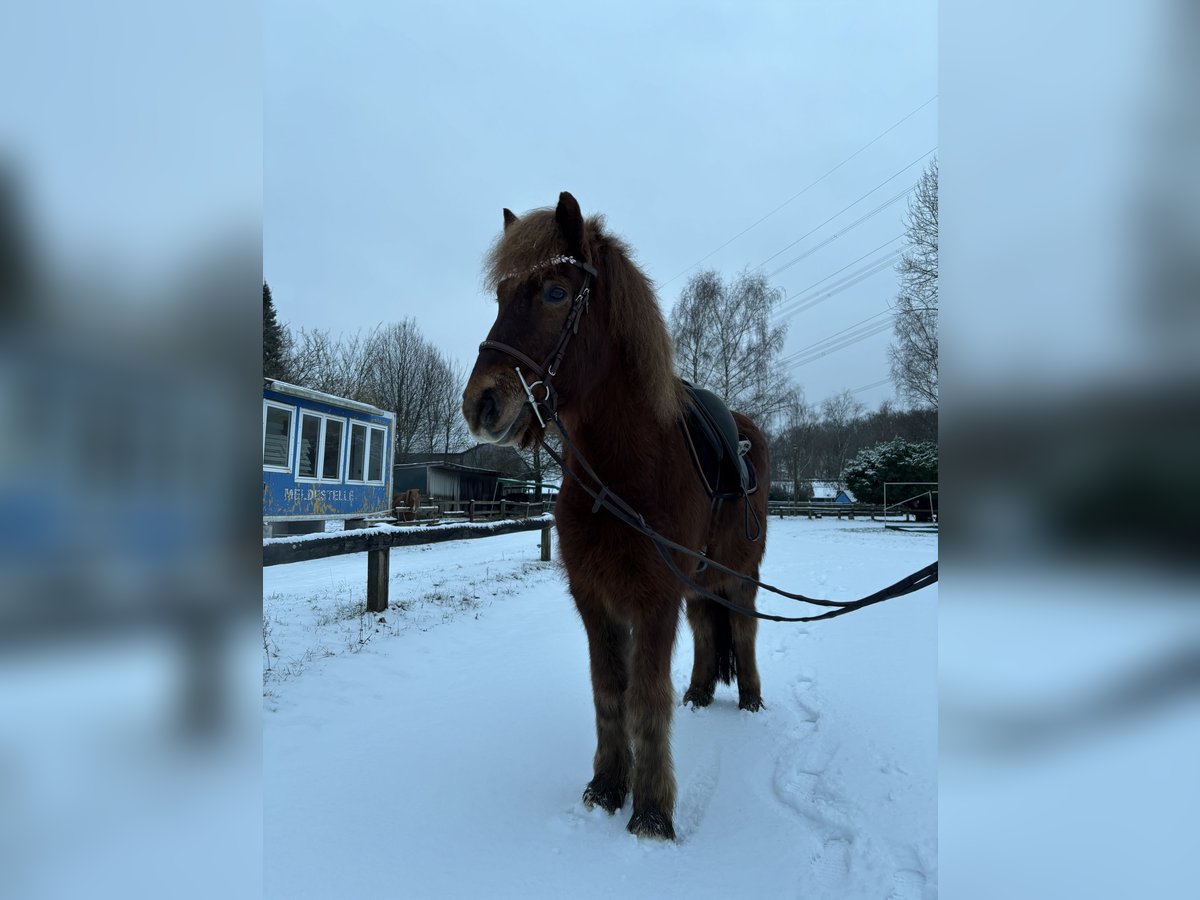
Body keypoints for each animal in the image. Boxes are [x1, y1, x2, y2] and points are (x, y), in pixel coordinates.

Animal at [462, 192, 769, 840]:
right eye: (501, 294)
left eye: (556, 292)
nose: (482, 404)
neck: (624, 472)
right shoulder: (594, 598)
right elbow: (609, 693)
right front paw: (606, 787)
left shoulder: (654, 599)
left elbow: (646, 699)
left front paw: (652, 812)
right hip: (698, 579)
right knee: (707, 627)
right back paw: (700, 692)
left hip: (740, 573)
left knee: (743, 626)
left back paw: (751, 701)